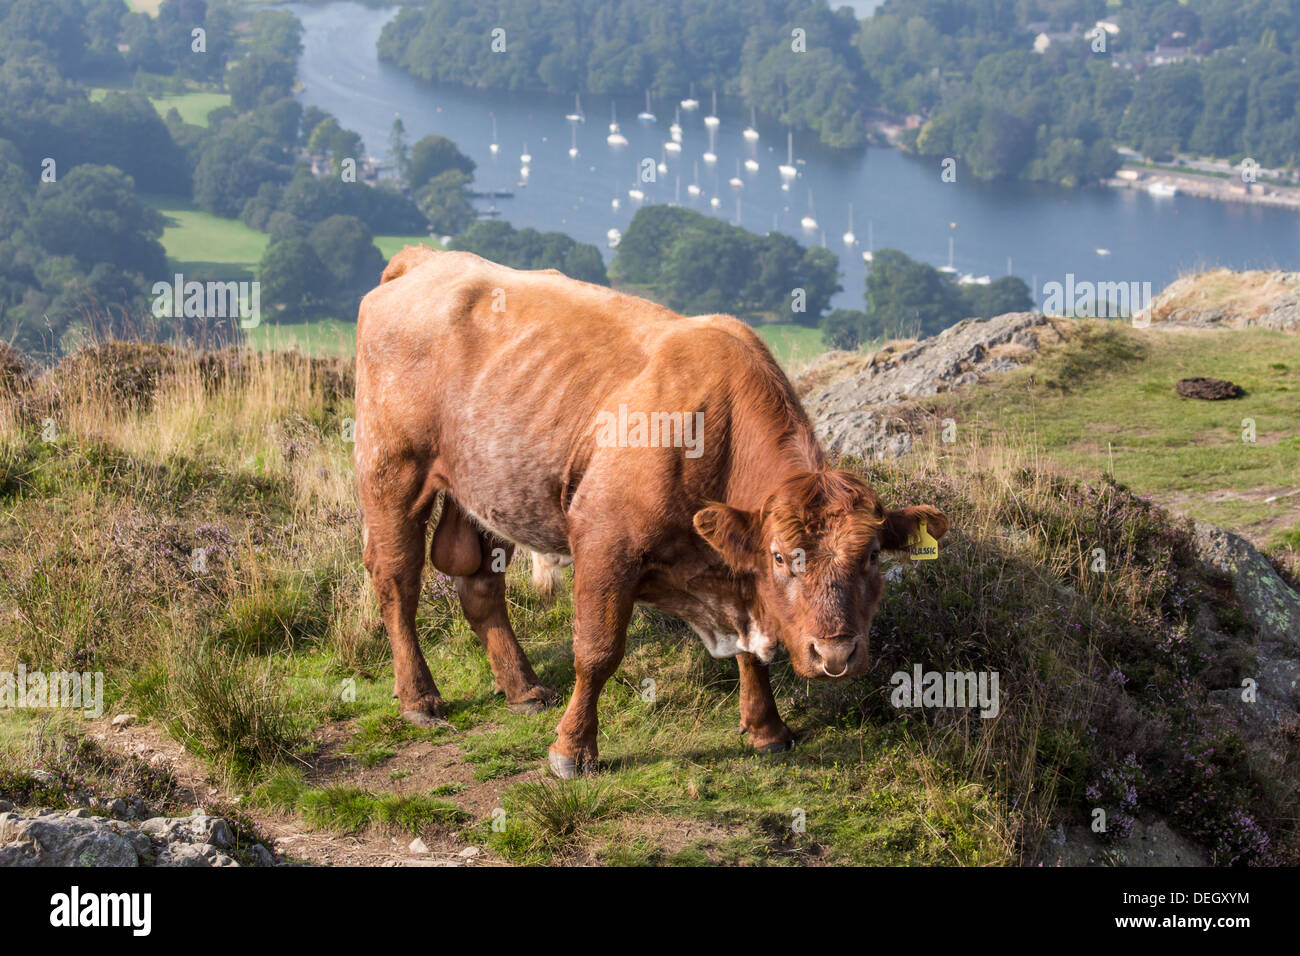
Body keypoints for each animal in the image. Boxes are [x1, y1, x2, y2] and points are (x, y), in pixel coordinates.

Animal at [354, 246, 948, 779]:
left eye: (872, 556)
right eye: (781, 558)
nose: (836, 654)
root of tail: (425, 259)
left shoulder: (734, 567)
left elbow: (752, 650)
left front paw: (767, 729)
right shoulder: (604, 542)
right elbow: (597, 651)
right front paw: (572, 750)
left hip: (491, 485)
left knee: (479, 583)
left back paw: (522, 687)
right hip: (391, 471)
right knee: (397, 579)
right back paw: (420, 698)